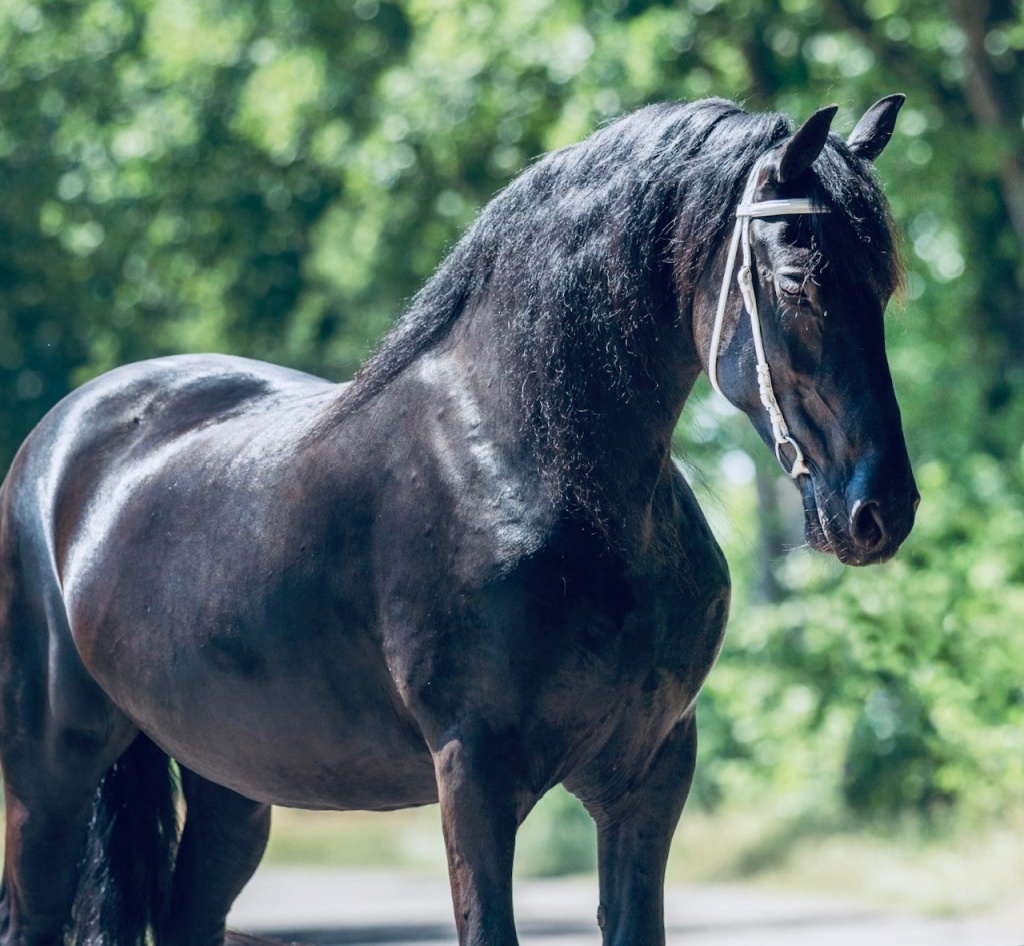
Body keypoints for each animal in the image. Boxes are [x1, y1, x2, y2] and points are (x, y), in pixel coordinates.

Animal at [0, 95, 918, 946]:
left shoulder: (650, 774)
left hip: (230, 784)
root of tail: (60, 441)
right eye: (799, 281)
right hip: (49, 777)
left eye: (884, 287)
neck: (530, 465)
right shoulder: (474, 774)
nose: (882, 509)